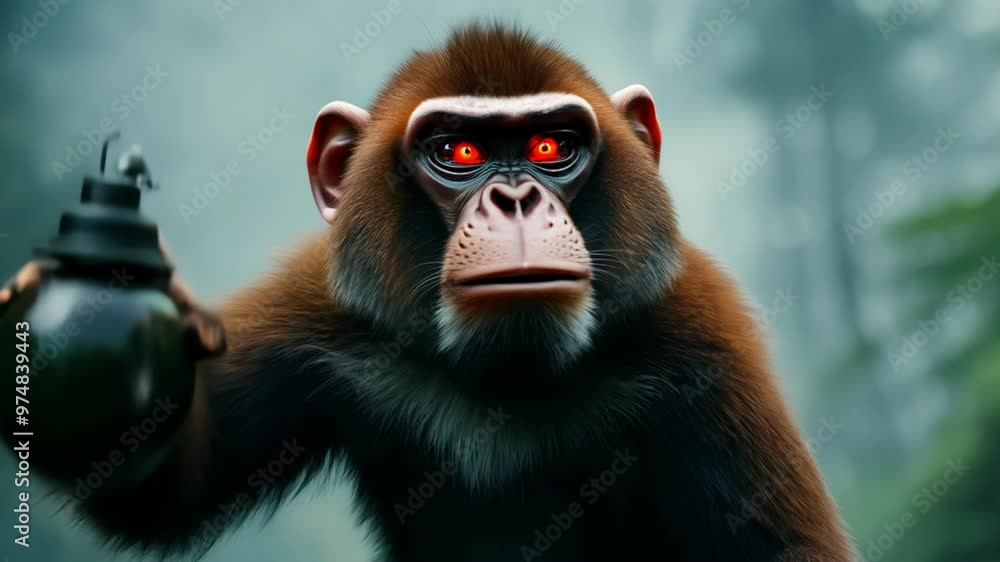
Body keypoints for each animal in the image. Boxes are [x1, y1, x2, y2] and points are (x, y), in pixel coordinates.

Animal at [0, 23, 857, 562]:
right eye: (460, 152)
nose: (515, 197)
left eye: (550, 145)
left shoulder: (699, 336)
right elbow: (161, 488)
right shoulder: (319, 308)